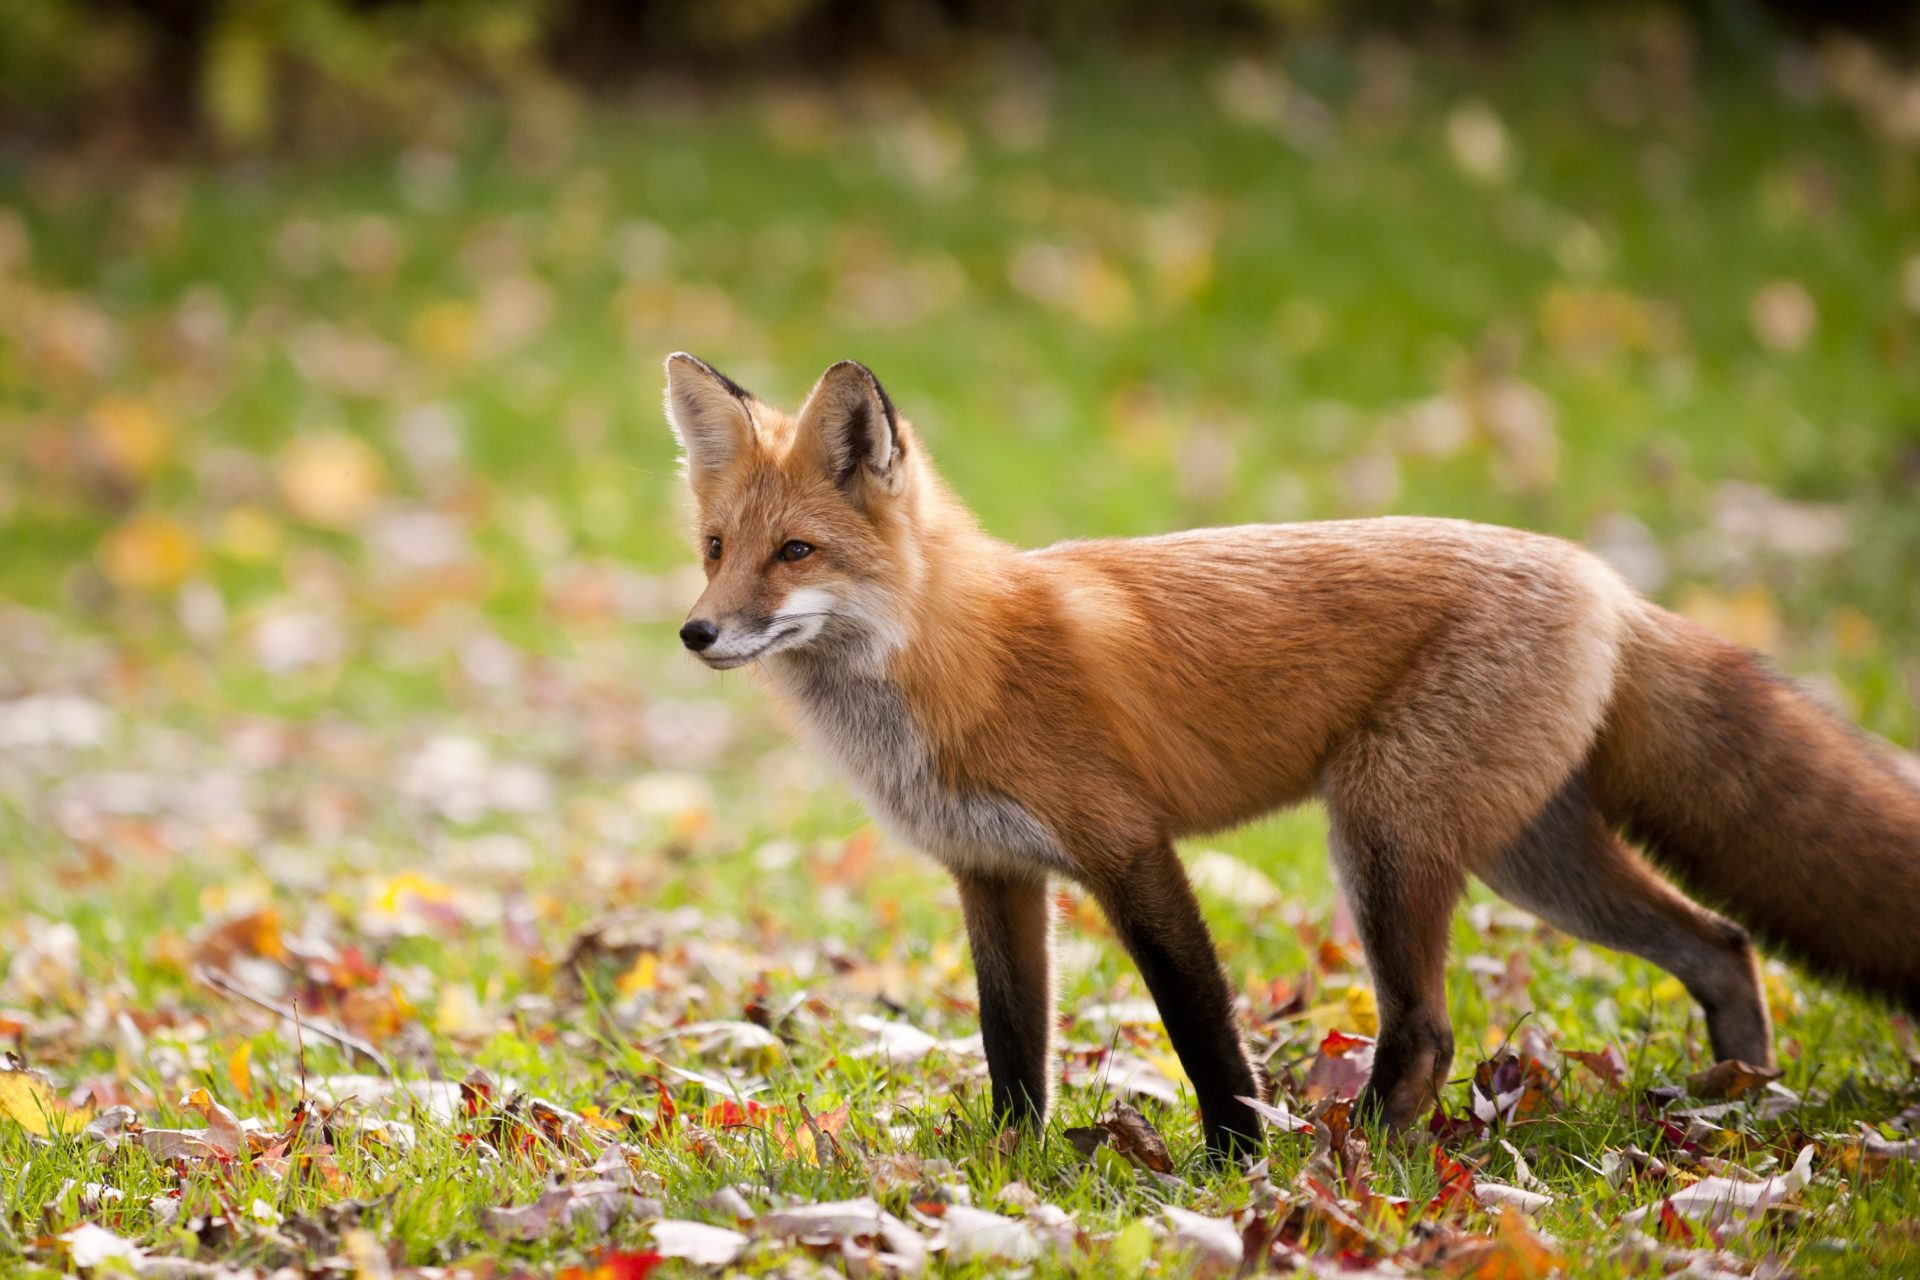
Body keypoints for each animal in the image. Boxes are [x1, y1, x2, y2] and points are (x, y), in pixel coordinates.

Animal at [662, 351, 1920, 1160]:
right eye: (717, 548)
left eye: (796, 551)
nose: (697, 632)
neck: (952, 656)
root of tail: (1604, 579)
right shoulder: (994, 871)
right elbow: (1012, 1040)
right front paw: (1013, 1165)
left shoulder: (1128, 846)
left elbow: (1200, 1021)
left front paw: (1233, 1158)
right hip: (1531, 860)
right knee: (1722, 942)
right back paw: (1736, 1097)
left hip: (1383, 833)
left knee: (1429, 1028)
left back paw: (1351, 1159)